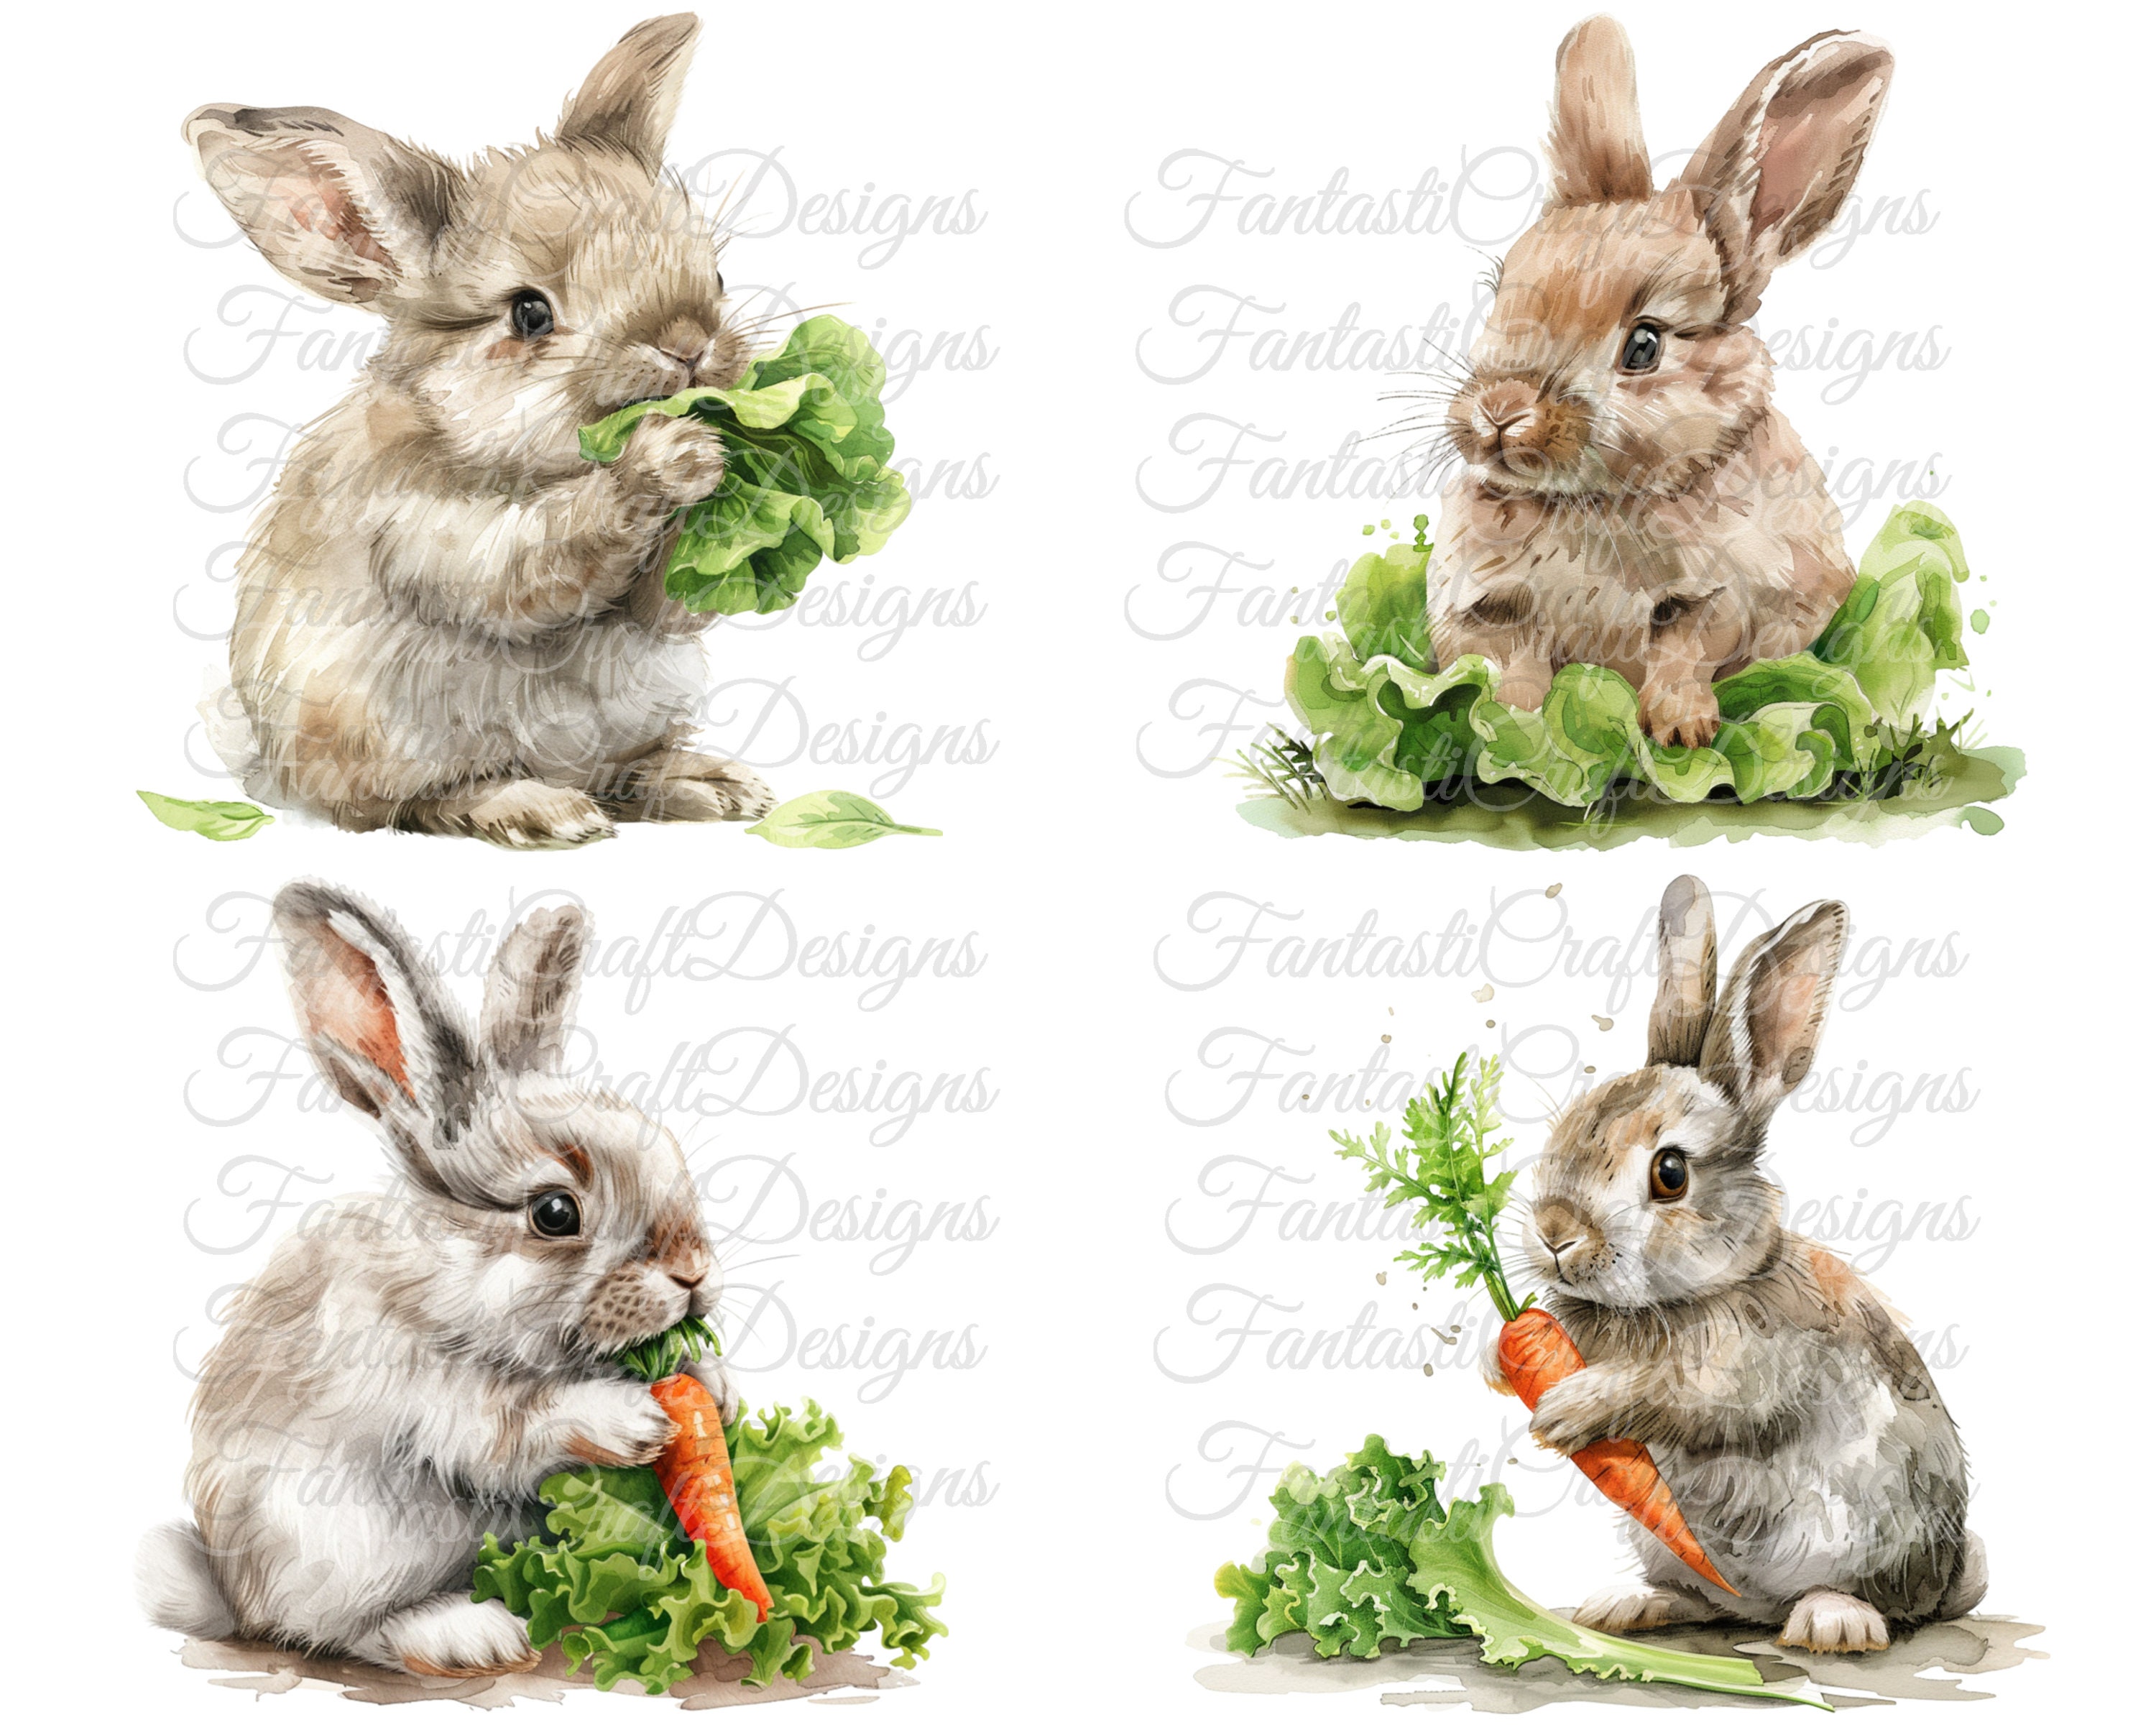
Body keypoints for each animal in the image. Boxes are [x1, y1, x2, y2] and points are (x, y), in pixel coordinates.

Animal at [134, 881, 736, 1676]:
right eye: (554, 1212)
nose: (692, 1272)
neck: (449, 1278)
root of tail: (234, 1594)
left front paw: (716, 1389)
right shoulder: (426, 1386)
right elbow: (514, 1425)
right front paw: (637, 1420)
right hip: (342, 1545)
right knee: (335, 1630)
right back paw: (469, 1633)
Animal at [183, 15, 777, 848]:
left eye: (716, 278)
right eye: (530, 314)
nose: (689, 346)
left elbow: (667, 605)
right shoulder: (421, 521)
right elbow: (529, 560)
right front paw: (673, 455)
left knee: (621, 772)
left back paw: (712, 784)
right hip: (388, 738)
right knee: (411, 805)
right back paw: (544, 810)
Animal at [1425, 17, 1894, 748]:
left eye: (1643, 345)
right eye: (1498, 292)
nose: (1503, 410)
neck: (1591, 504)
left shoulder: (1720, 598)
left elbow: (1684, 652)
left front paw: (1682, 731)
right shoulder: (1483, 609)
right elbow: (1511, 664)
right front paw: (1513, 726)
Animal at [1484, 876, 1983, 1654]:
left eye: (1670, 1174)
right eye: (1568, 1127)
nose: (1556, 1233)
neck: (1695, 1290)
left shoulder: (1745, 1369)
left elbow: (1669, 1394)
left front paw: (1568, 1410)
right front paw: (1495, 1363)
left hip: (1870, 1532)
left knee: (1875, 1604)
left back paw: (1833, 1622)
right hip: (1676, 1551)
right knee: (1709, 1599)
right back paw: (1629, 1604)